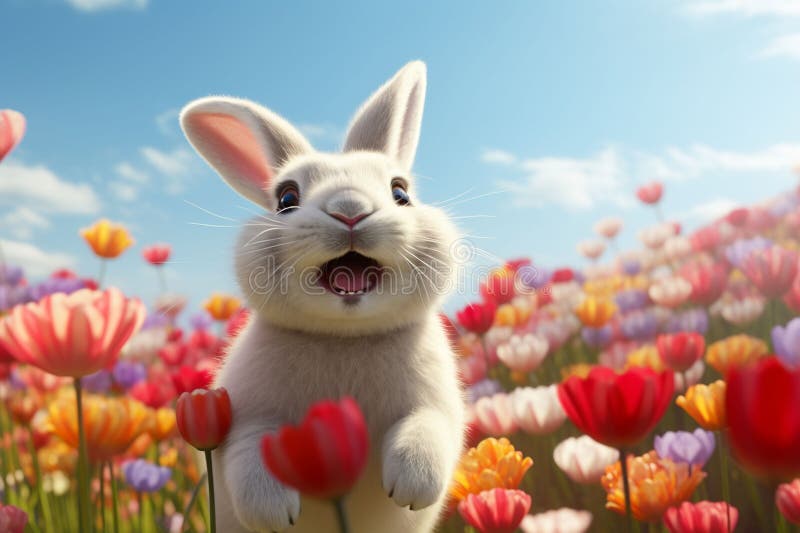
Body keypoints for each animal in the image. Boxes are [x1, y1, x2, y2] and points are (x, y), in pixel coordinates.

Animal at [180, 61, 466, 533]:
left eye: (401, 193)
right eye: (286, 198)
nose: (349, 209)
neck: (344, 335)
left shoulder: (436, 405)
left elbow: (426, 429)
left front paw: (411, 488)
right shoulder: (247, 417)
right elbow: (252, 449)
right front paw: (274, 514)